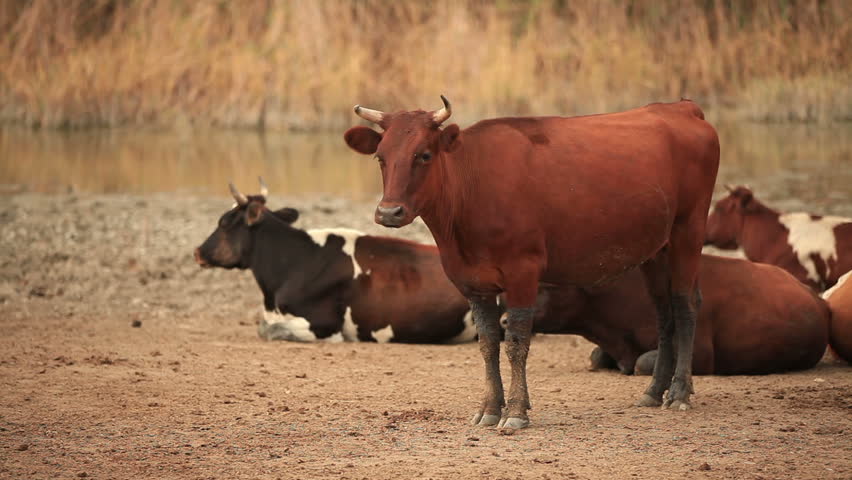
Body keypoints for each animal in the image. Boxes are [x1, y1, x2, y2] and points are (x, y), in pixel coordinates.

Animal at [345, 96, 720, 429]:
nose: (389, 212)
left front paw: (516, 411)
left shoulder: (523, 273)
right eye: (380, 157)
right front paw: (489, 408)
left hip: (689, 231)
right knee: (663, 312)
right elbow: (487, 344)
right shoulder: (472, 283)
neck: (472, 190)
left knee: (685, 304)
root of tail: (682, 108)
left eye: (423, 154)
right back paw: (654, 391)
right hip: (656, 249)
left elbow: (515, 343)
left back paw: (679, 392)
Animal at [527, 255, 829, 375]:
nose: (511, 319)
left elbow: (644, 362)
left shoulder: (700, 353)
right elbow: (596, 357)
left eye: (548, 286)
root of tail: (816, 298)